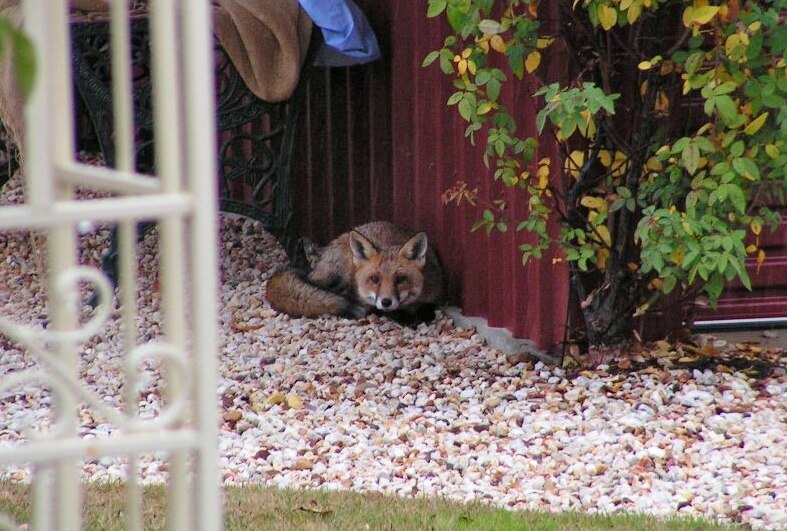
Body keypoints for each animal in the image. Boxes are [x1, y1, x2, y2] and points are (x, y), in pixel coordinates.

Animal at [266, 221, 446, 325]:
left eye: (400, 279)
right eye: (374, 279)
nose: (386, 302)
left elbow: (429, 307)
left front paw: (422, 313)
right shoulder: (366, 299)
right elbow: (379, 309)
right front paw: (403, 317)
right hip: (339, 274)